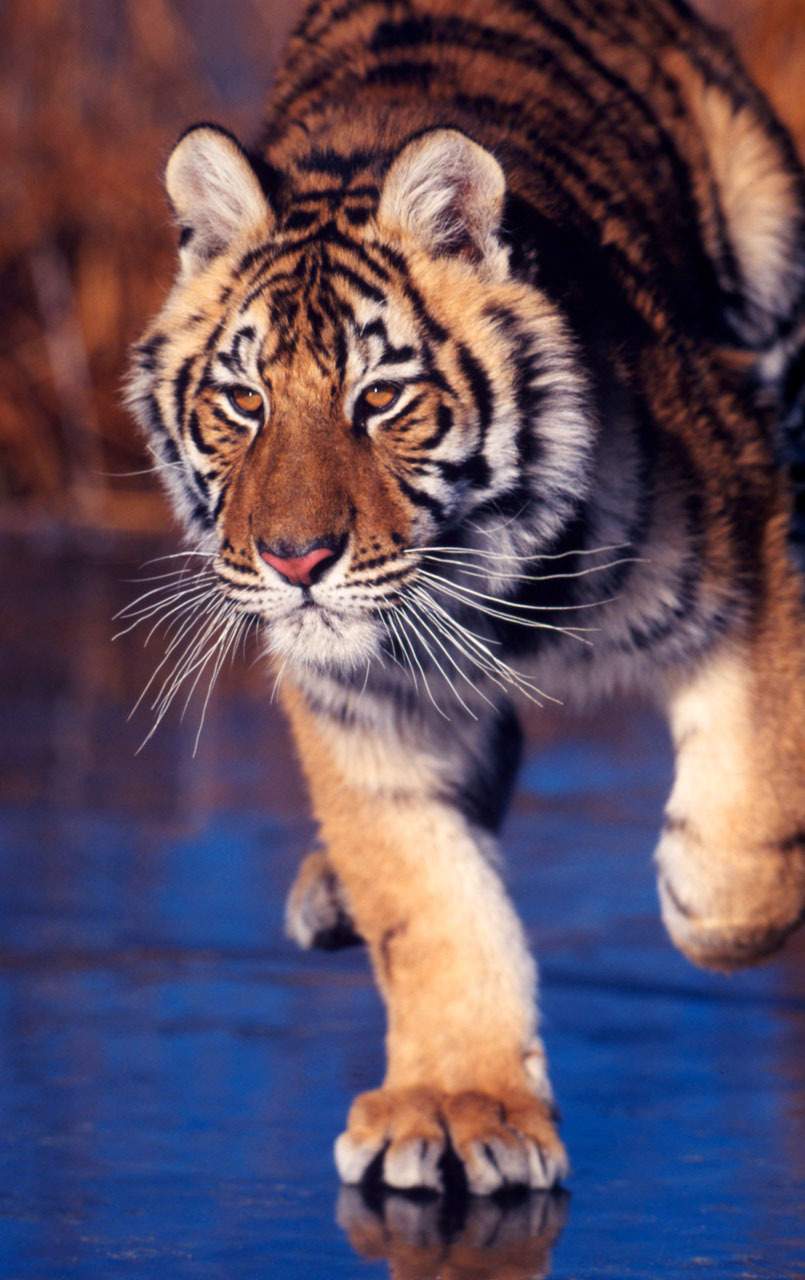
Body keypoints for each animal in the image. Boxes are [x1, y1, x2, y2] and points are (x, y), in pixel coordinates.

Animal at [126, 0, 805, 1196]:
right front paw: (454, 1103)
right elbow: (423, 898)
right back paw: (328, 895)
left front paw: (695, 888)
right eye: (243, 402)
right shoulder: (360, 701)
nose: (295, 560)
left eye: (380, 399)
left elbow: (749, 825)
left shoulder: (749, 529)